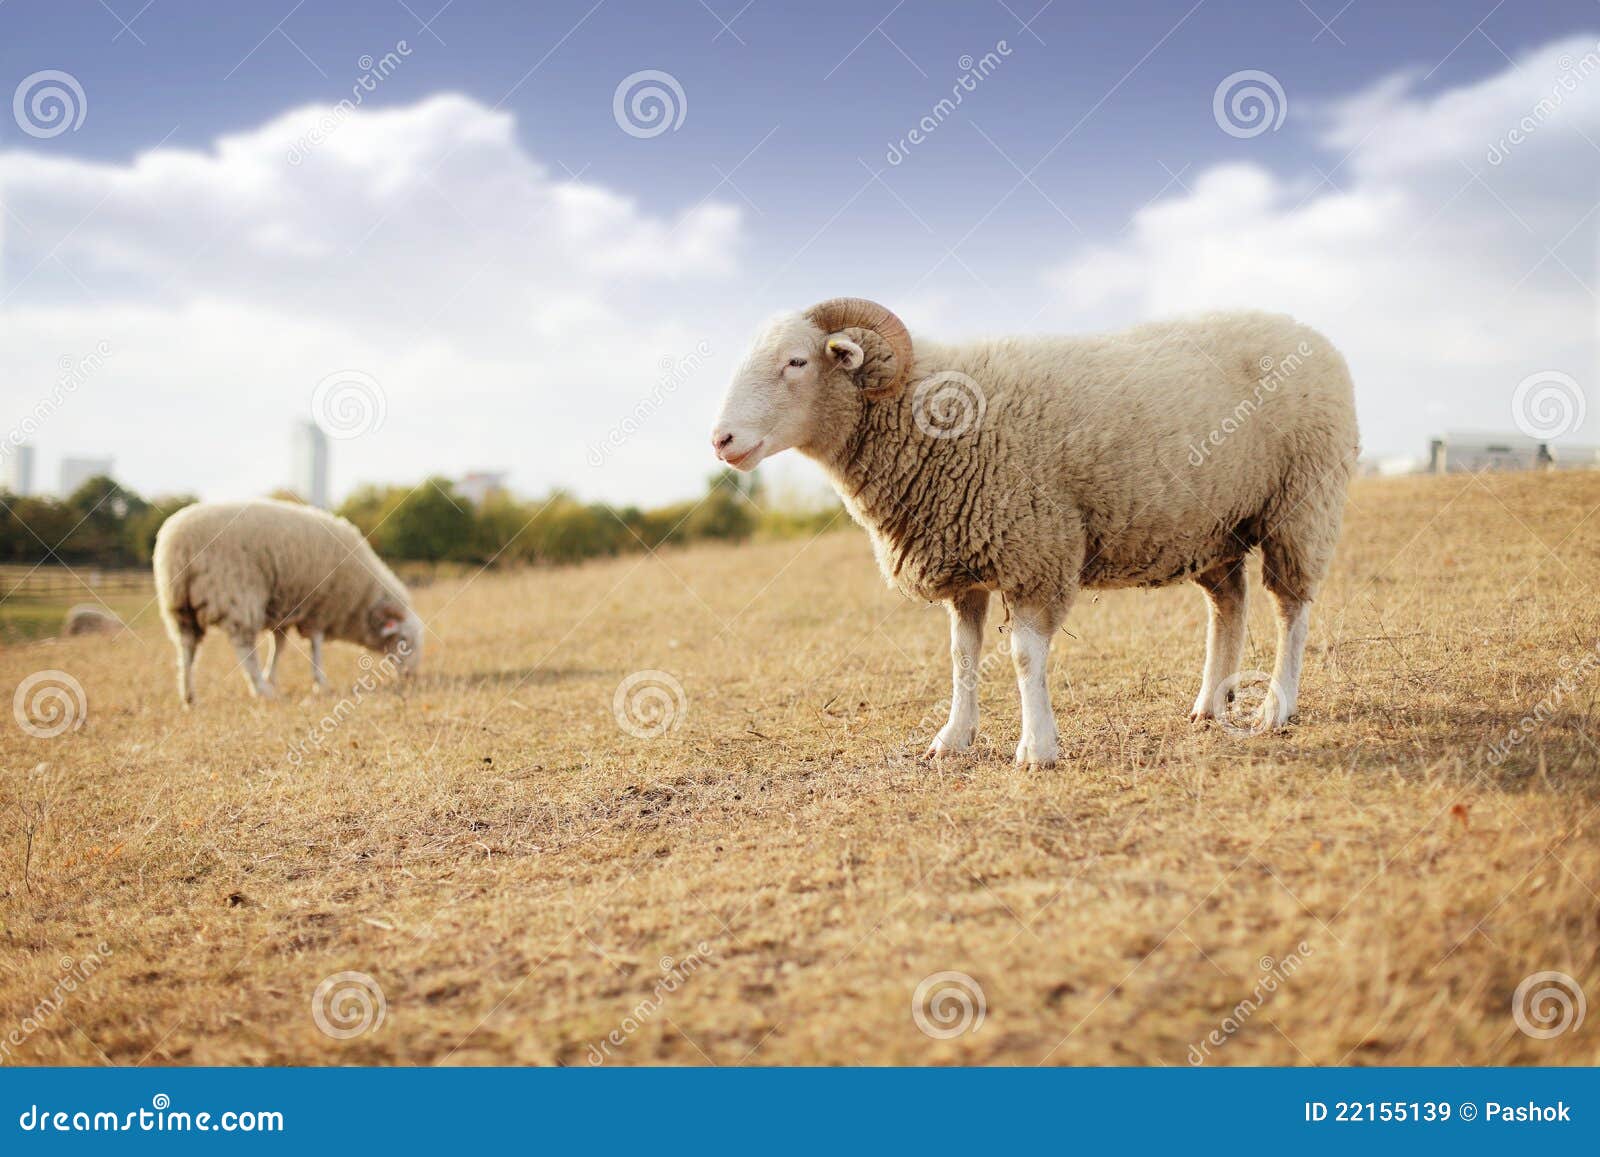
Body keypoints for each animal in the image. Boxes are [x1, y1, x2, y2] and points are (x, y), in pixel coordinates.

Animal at [152, 499, 422, 704]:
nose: (411, 677)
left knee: (187, 649)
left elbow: (279, 646)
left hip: (179, 608)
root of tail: (179, 545)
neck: (360, 601)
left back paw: (188, 696)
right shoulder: (318, 608)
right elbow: (315, 646)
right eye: (404, 641)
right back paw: (260, 689)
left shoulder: (284, 611)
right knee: (244, 648)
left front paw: (273, 676)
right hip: (235, 593)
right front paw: (319, 682)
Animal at [710, 298, 1358, 765]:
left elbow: (1024, 656)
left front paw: (1037, 749)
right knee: (1229, 605)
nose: (721, 441)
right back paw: (1211, 704)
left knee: (1290, 606)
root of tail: (1311, 332)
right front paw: (953, 739)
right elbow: (962, 656)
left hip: (1303, 500)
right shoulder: (963, 561)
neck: (928, 415)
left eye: (797, 361)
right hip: (1215, 525)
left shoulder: (1036, 551)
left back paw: (1276, 708)